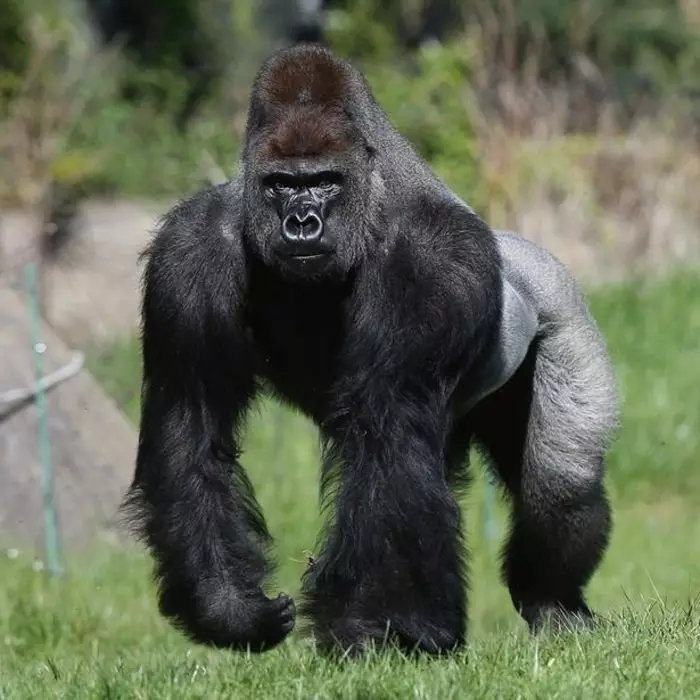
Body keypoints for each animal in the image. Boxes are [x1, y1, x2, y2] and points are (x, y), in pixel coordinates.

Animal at [124, 43, 616, 656]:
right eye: (281, 184)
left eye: (325, 181)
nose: (302, 223)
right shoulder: (187, 253)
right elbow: (191, 421)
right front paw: (227, 606)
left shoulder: (435, 259)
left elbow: (386, 431)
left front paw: (378, 627)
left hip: (561, 308)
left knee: (561, 490)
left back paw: (552, 599)